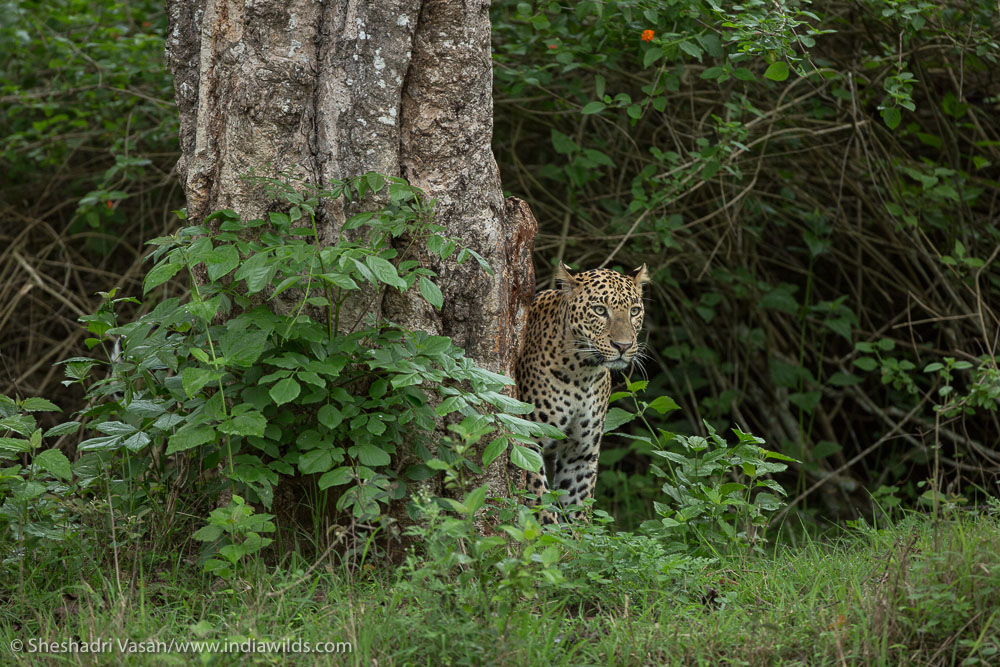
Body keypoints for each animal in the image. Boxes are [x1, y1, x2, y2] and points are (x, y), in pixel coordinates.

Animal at [515, 262, 650, 523]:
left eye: (635, 311)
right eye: (599, 310)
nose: (623, 346)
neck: (581, 373)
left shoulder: (582, 452)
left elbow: (578, 505)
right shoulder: (528, 439)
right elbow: (541, 502)